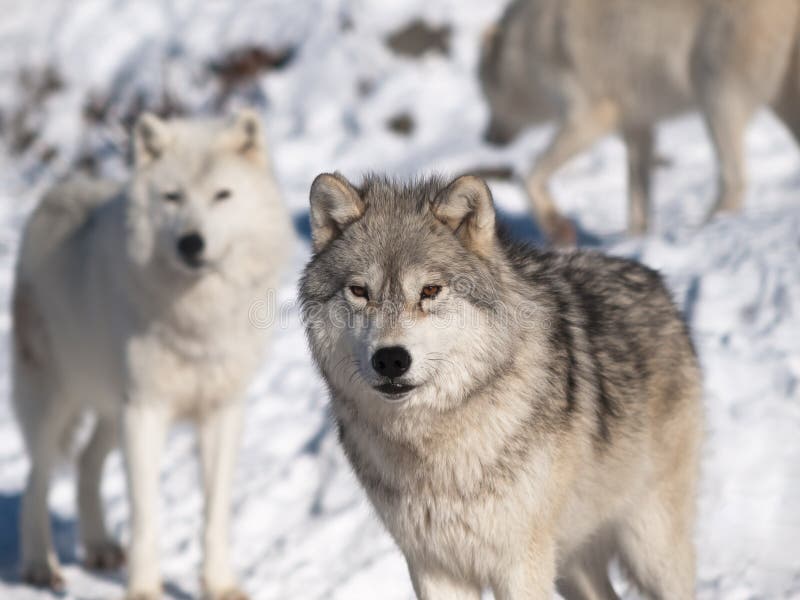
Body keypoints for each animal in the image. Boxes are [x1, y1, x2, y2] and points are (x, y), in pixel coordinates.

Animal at [12, 110, 291, 599]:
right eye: (172, 196)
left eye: (222, 195)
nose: (191, 243)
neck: (197, 317)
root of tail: (56, 193)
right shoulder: (144, 412)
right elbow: (145, 515)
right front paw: (144, 589)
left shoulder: (222, 412)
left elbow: (215, 514)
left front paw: (219, 585)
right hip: (56, 405)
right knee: (36, 481)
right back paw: (41, 567)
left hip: (109, 409)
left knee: (85, 463)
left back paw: (100, 547)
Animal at [300, 172, 703, 599]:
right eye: (360, 291)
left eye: (430, 291)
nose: (391, 359)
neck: (434, 448)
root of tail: (653, 279)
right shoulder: (432, 565)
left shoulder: (519, 563)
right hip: (573, 564)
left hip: (650, 547)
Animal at [480, 0, 800, 244]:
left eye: (484, 93)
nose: (487, 137)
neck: (524, 41)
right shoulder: (637, 125)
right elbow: (638, 194)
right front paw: (635, 238)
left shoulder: (592, 115)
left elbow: (528, 176)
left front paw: (559, 229)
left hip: (716, 93)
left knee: (734, 179)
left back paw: (705, 227)